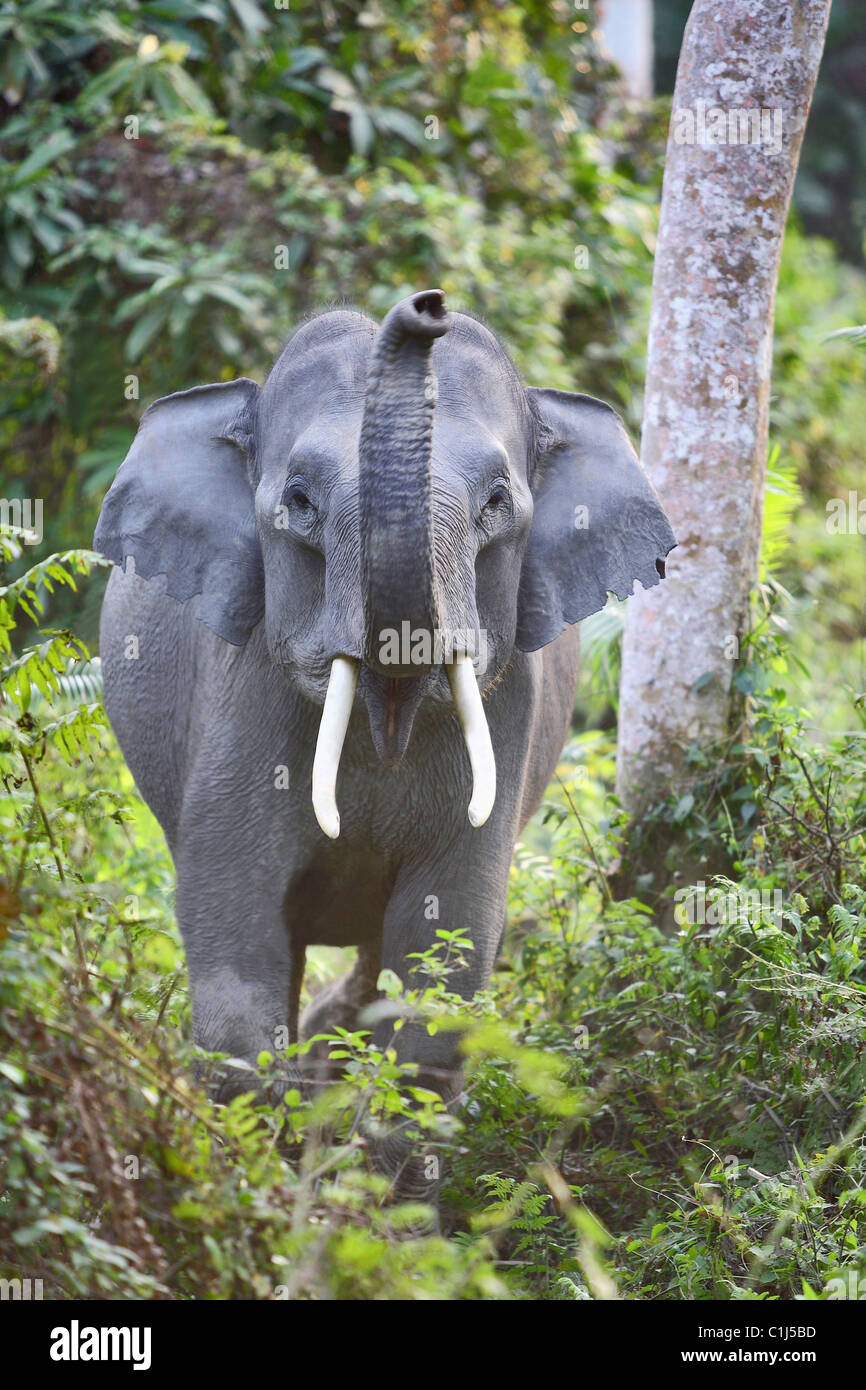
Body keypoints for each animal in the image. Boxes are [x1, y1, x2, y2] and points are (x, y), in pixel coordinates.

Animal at [94, 289, 675, 1201]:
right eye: (298, 502)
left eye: (497, 503)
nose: (427, 304)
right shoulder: (240, 689)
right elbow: (234, 943)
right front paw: (266, 1189)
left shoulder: (509, 708)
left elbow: (446, 950)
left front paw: (380, 1211)